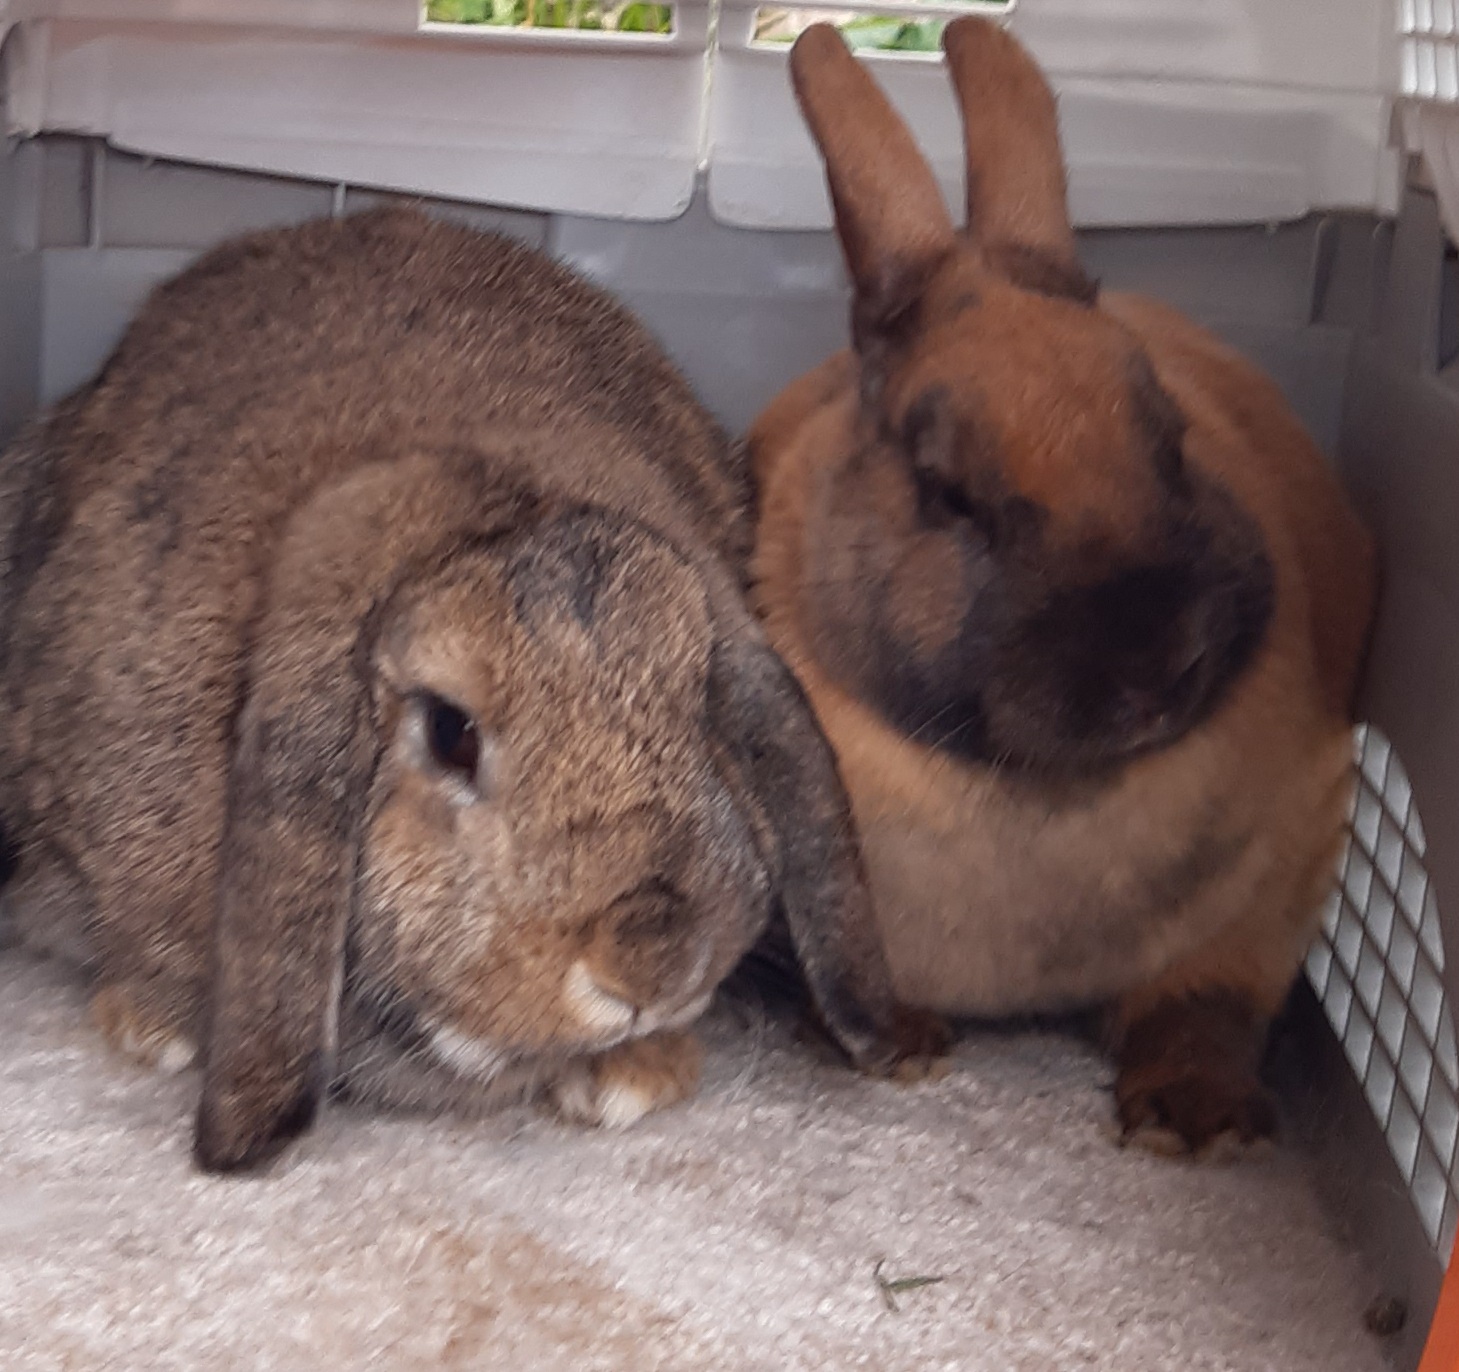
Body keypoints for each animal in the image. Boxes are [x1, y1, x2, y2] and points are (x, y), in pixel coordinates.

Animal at [749, 19, 1377, 1155]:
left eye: (1170, 440)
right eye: (946, 493)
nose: (1153, 674)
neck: (1036, 797)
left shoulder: (1284, 877)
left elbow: (1202, 1006)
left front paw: (1193, 1122)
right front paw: (907, 1045)